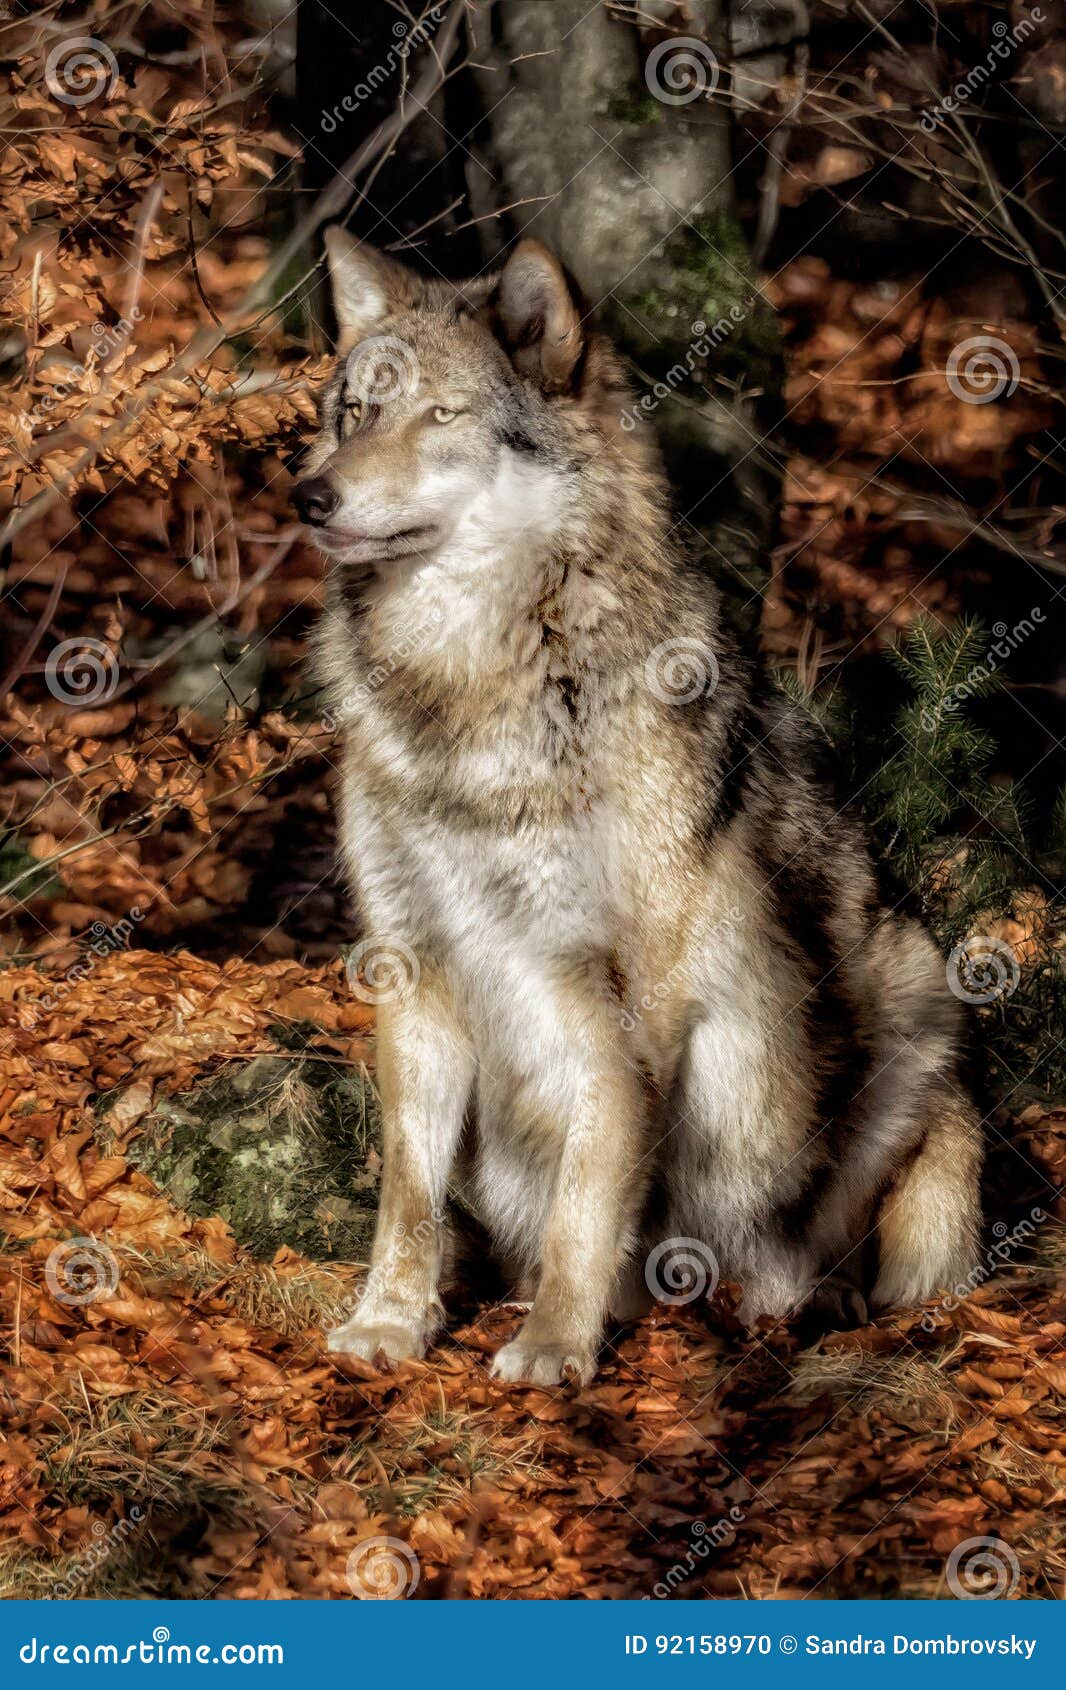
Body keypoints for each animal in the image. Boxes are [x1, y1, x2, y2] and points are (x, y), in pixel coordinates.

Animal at [295, 226, 981, 1386]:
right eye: (354, 412)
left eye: (441, 416)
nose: (311, 499)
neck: (473, 691)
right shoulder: (409, 964)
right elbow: (407, 1190)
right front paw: (390, 1322)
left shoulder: (630, 987)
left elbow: (592, 1179)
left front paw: (557, 1341)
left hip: (909, 998)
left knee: (839, 1237)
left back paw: (793, 1298)